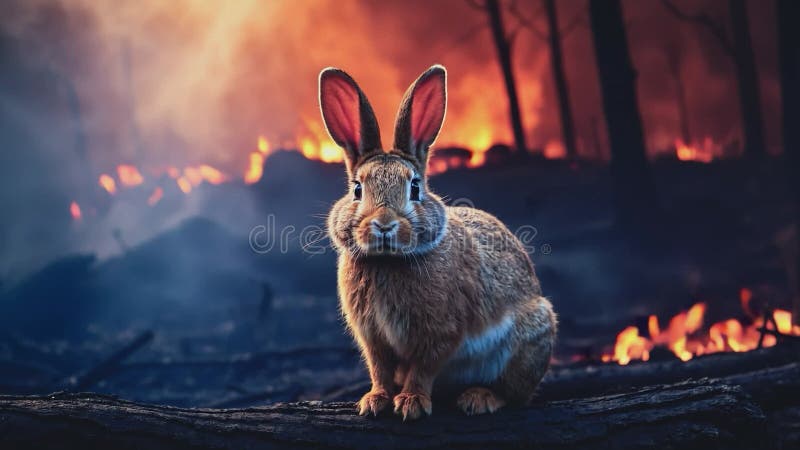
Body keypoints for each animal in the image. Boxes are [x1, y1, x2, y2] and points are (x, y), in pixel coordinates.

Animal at [320, 64, 556, 421]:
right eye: (357, 189)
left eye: (415, 188)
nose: (384, 225)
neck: (388, 260)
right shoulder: (373, 339)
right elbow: (379, 370)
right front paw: (374, 401)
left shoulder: (439, 334)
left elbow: (423, 368)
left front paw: (412, 403)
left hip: (530, 340)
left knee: (515, 394)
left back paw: (479, 398)